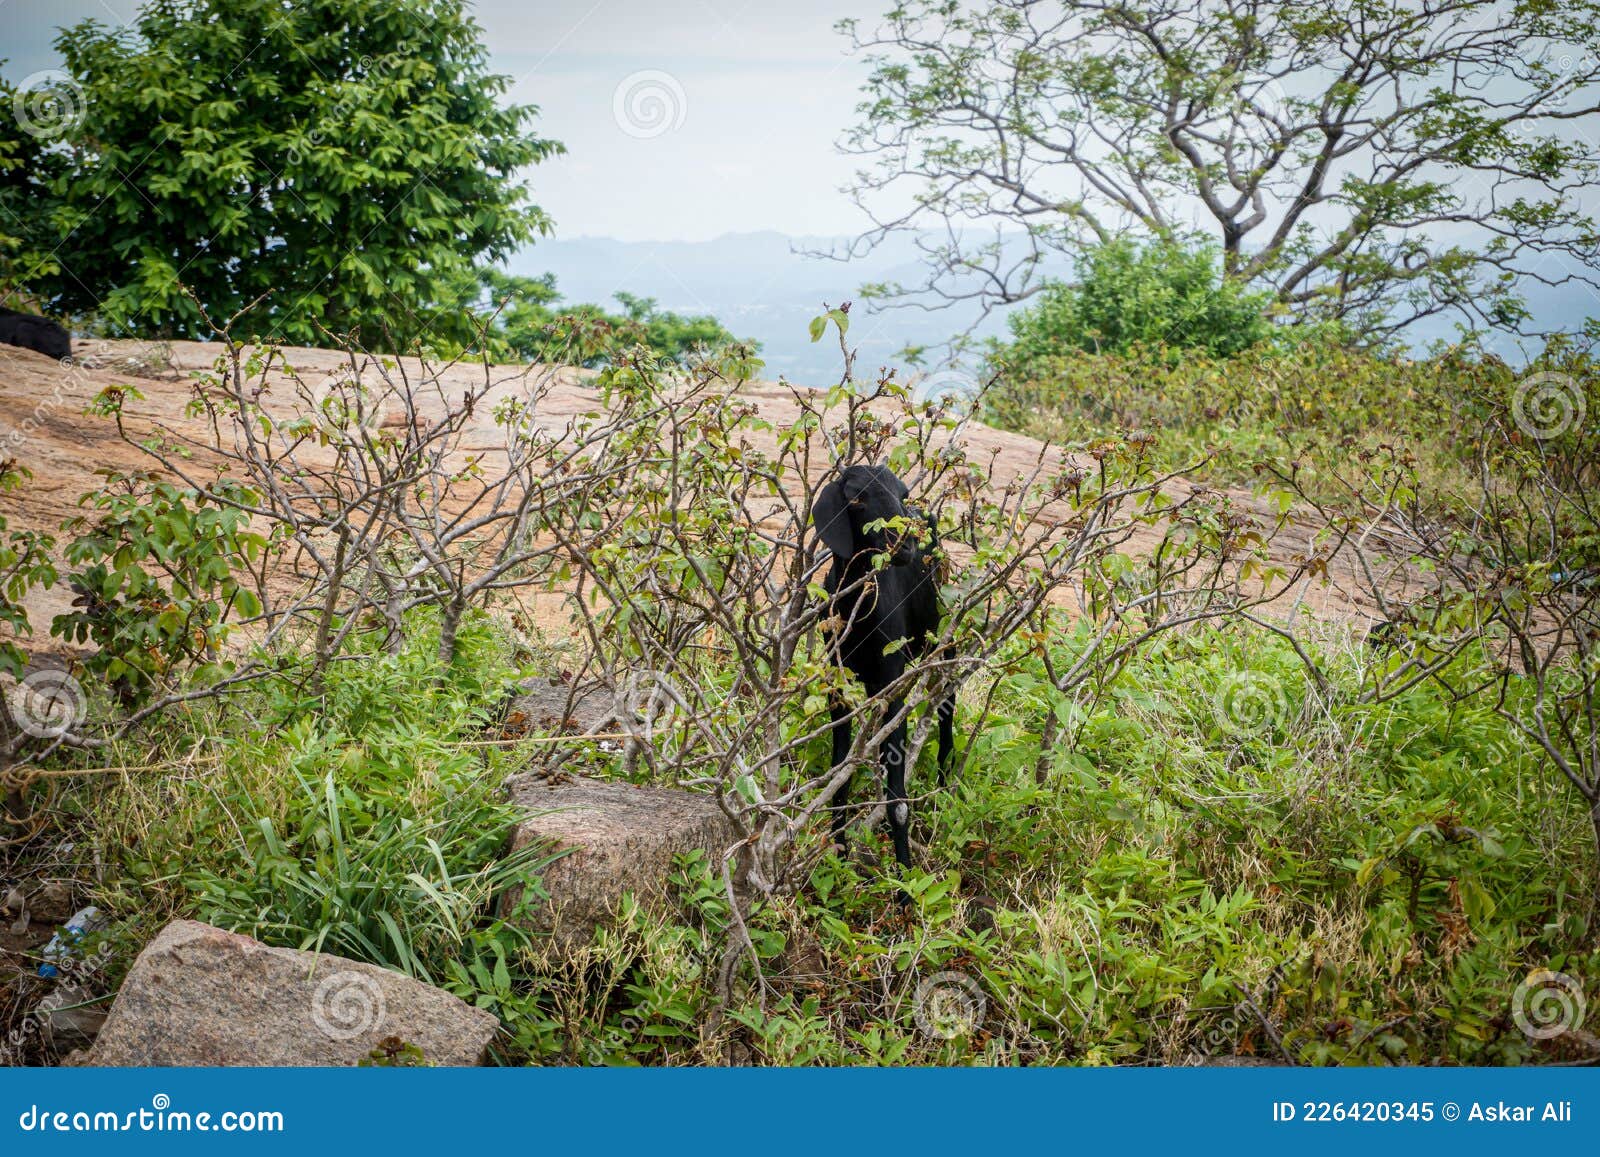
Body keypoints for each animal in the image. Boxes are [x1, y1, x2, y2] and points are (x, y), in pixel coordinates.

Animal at [812, 464, 954, 874]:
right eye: (856, 499)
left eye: (902, 493)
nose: (906, 543)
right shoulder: (838, 684)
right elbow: (839, 777)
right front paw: (839, 858)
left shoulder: (893, 683)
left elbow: (898, 800)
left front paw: (905, 879)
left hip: (942, 633)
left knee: (947, 705)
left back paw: (945, 782)